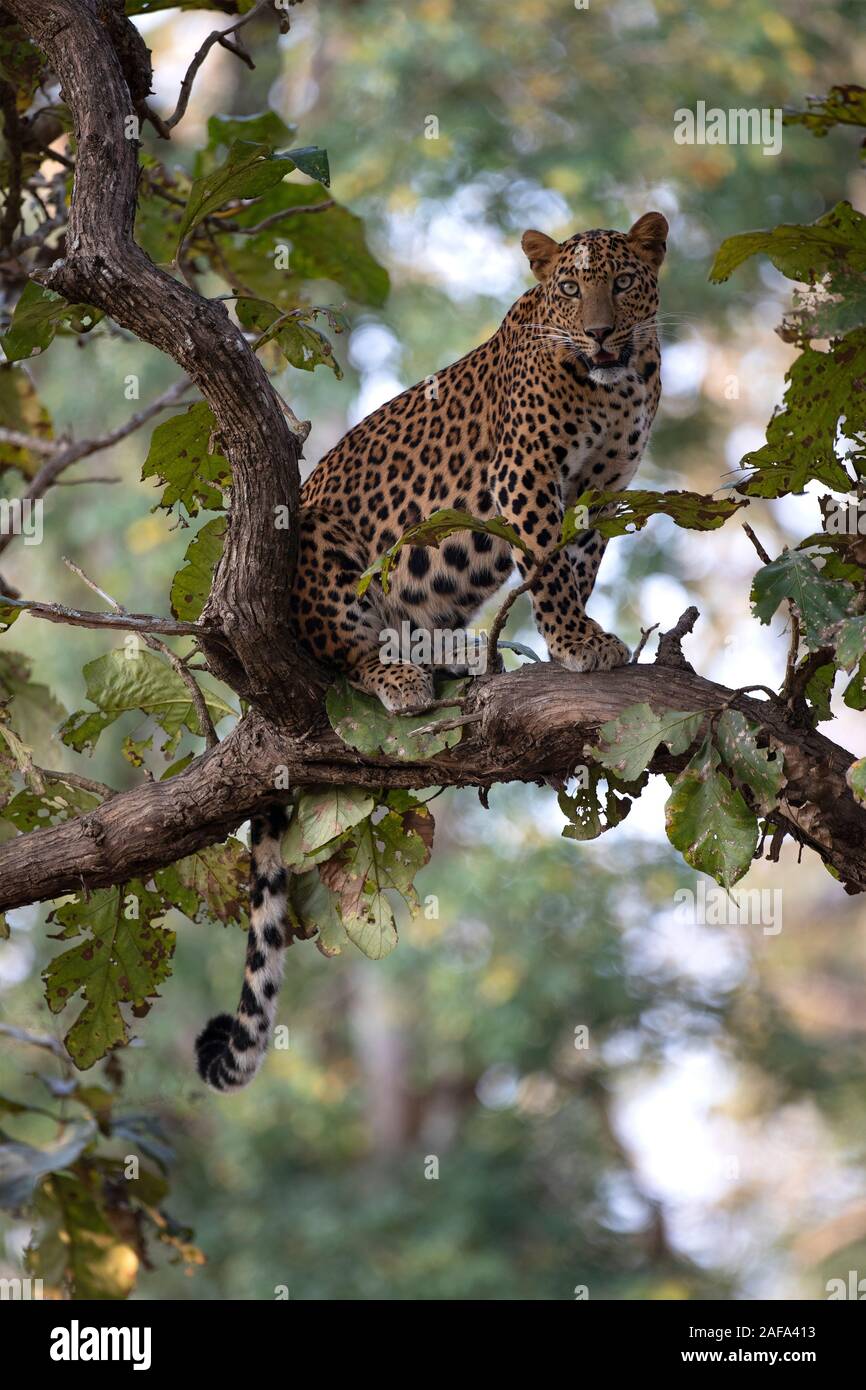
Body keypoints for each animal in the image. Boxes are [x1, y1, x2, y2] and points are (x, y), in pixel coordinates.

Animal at [195, 211, 668, 1091]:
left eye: (623, 282)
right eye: (569, 288)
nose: (600, 333)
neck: (612, 385)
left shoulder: (602, 490)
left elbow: (580, 565)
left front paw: (580, 637)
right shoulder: (528, 481)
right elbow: (549, 569)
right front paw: (576, 643)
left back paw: (453, 656)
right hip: (328, 554)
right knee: (335, 653)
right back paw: (398, 673)